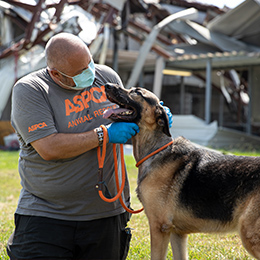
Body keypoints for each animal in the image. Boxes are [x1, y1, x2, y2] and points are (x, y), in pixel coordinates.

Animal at [102, 83, 260, 258]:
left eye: (137, 92)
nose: (107, 85)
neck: (156, 150)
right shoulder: (177, 234)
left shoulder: (159, 227)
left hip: (249, 233)